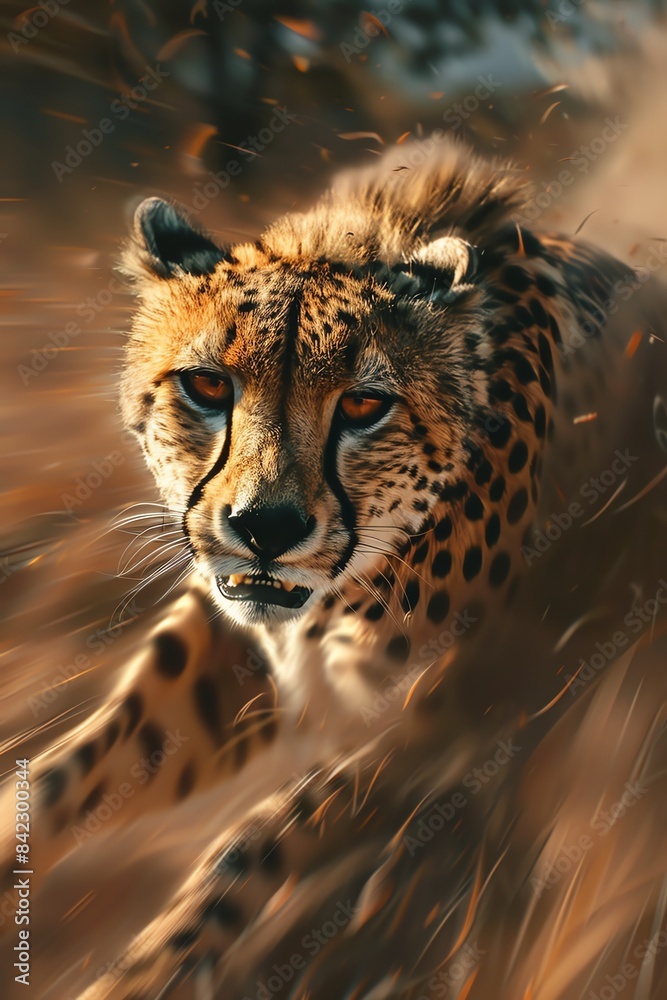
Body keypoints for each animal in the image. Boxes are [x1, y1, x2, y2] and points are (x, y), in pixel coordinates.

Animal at [2, 137, 666, 1000]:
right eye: (207, 385)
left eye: (361, 405)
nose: (265, 528)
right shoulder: (230, 654)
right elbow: (71, 768)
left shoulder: (433, 724)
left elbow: (256, 839)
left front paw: (141, 977)